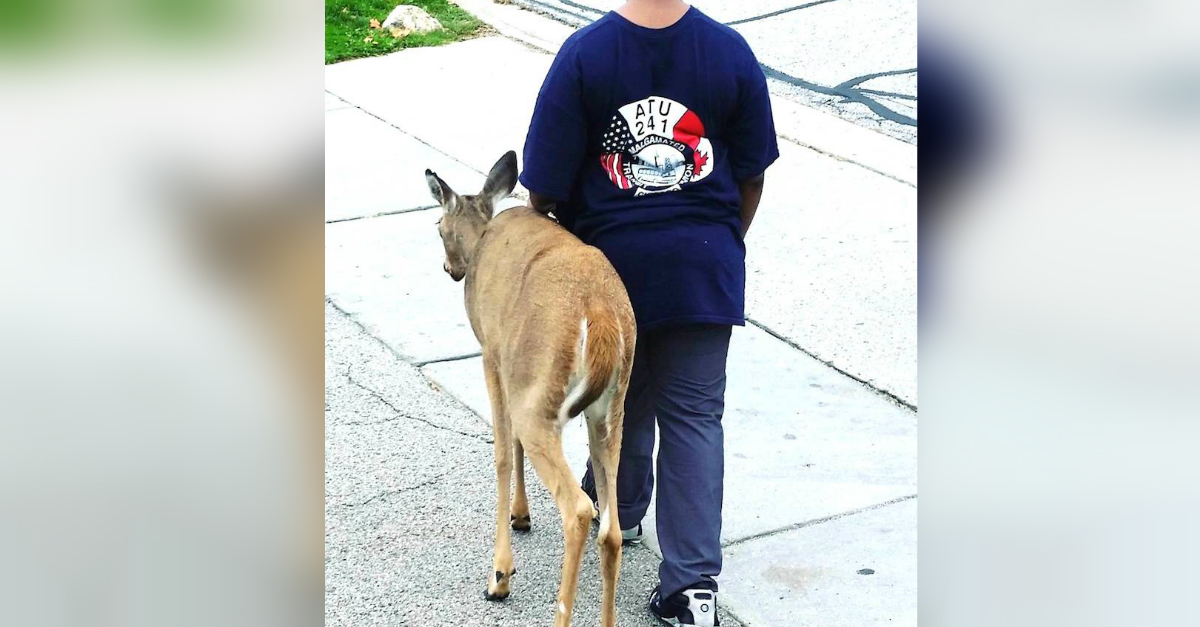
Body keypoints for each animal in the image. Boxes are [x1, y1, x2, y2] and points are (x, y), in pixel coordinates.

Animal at [425, 151, 636, 627]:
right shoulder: (514, 372)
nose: (450, 269)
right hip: (611, 409)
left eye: (437, 227)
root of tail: (600, 315)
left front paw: (500, 573)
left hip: (541, 395)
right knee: (611, 528)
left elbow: (503, 451)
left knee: (579, 509)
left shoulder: (492, 353)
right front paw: (521, 516)